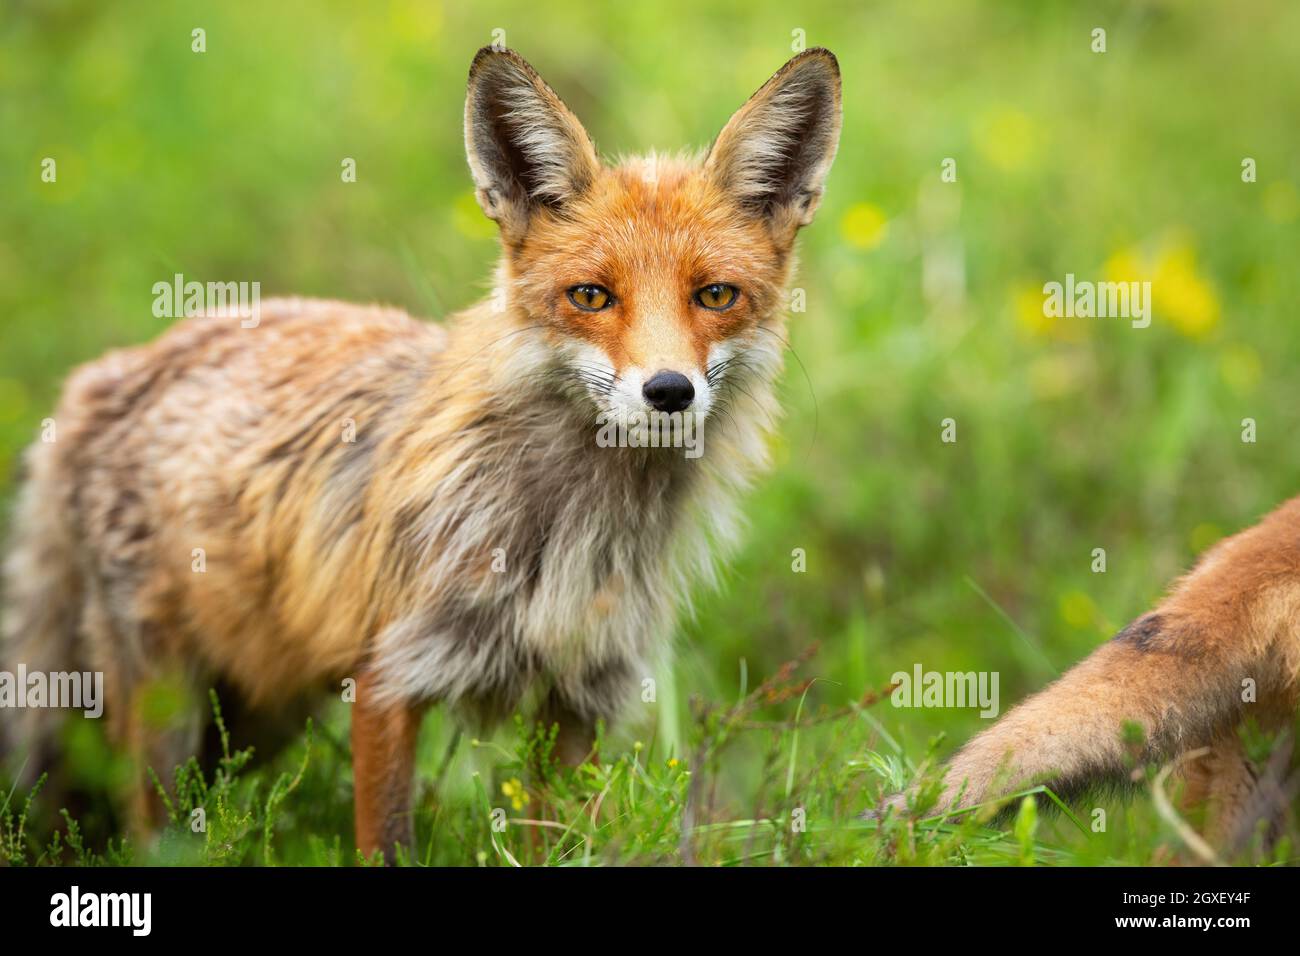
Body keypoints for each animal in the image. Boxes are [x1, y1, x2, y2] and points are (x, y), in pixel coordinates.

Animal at [0, 46, 843, 859]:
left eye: (716, 295)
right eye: (591, 297)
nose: (668, 391)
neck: (569, 527)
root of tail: (106, 373)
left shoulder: (579, 695)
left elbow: (557, 841)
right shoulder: (389, 674)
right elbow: (387, 841)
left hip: (261, 712)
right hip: (169, 708)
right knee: (151, 832)